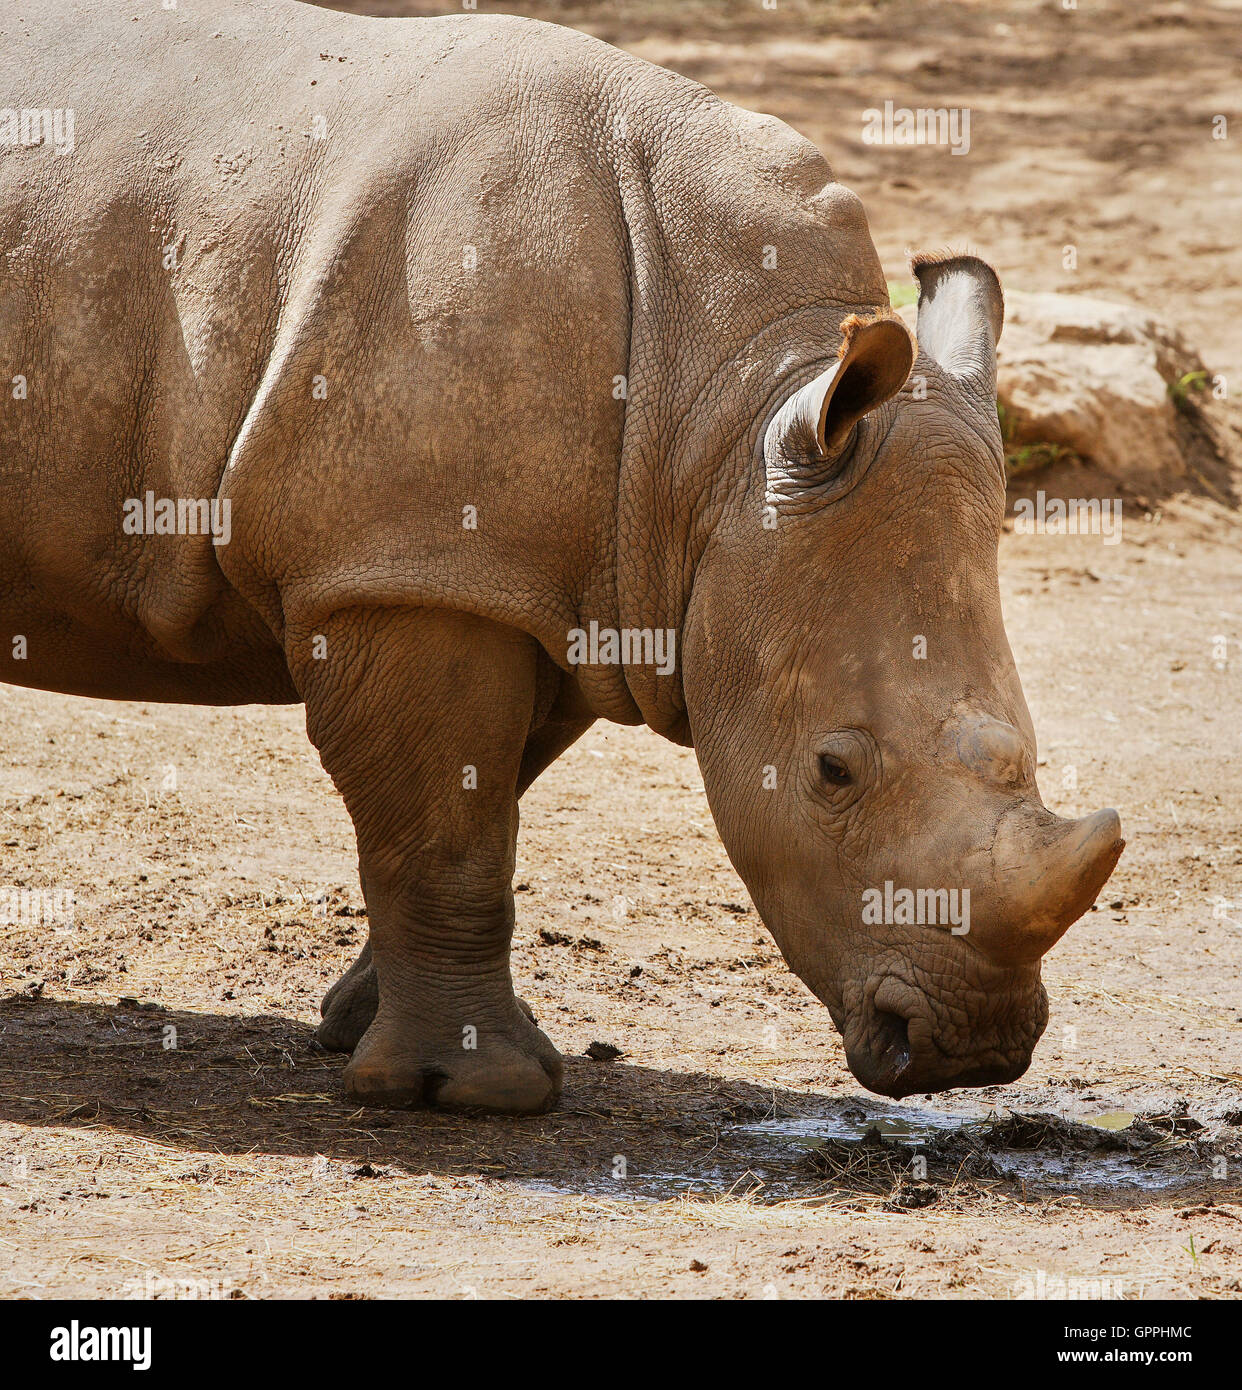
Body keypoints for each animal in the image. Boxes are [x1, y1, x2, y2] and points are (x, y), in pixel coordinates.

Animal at [0, 0, 1123, 1112]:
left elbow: (481, 800)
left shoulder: (566, 584)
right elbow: (447, 827)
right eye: (832, 770)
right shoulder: (414, 572)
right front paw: (479, 1090)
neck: (723, 411)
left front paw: (364, 1028)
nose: (971, 1052)